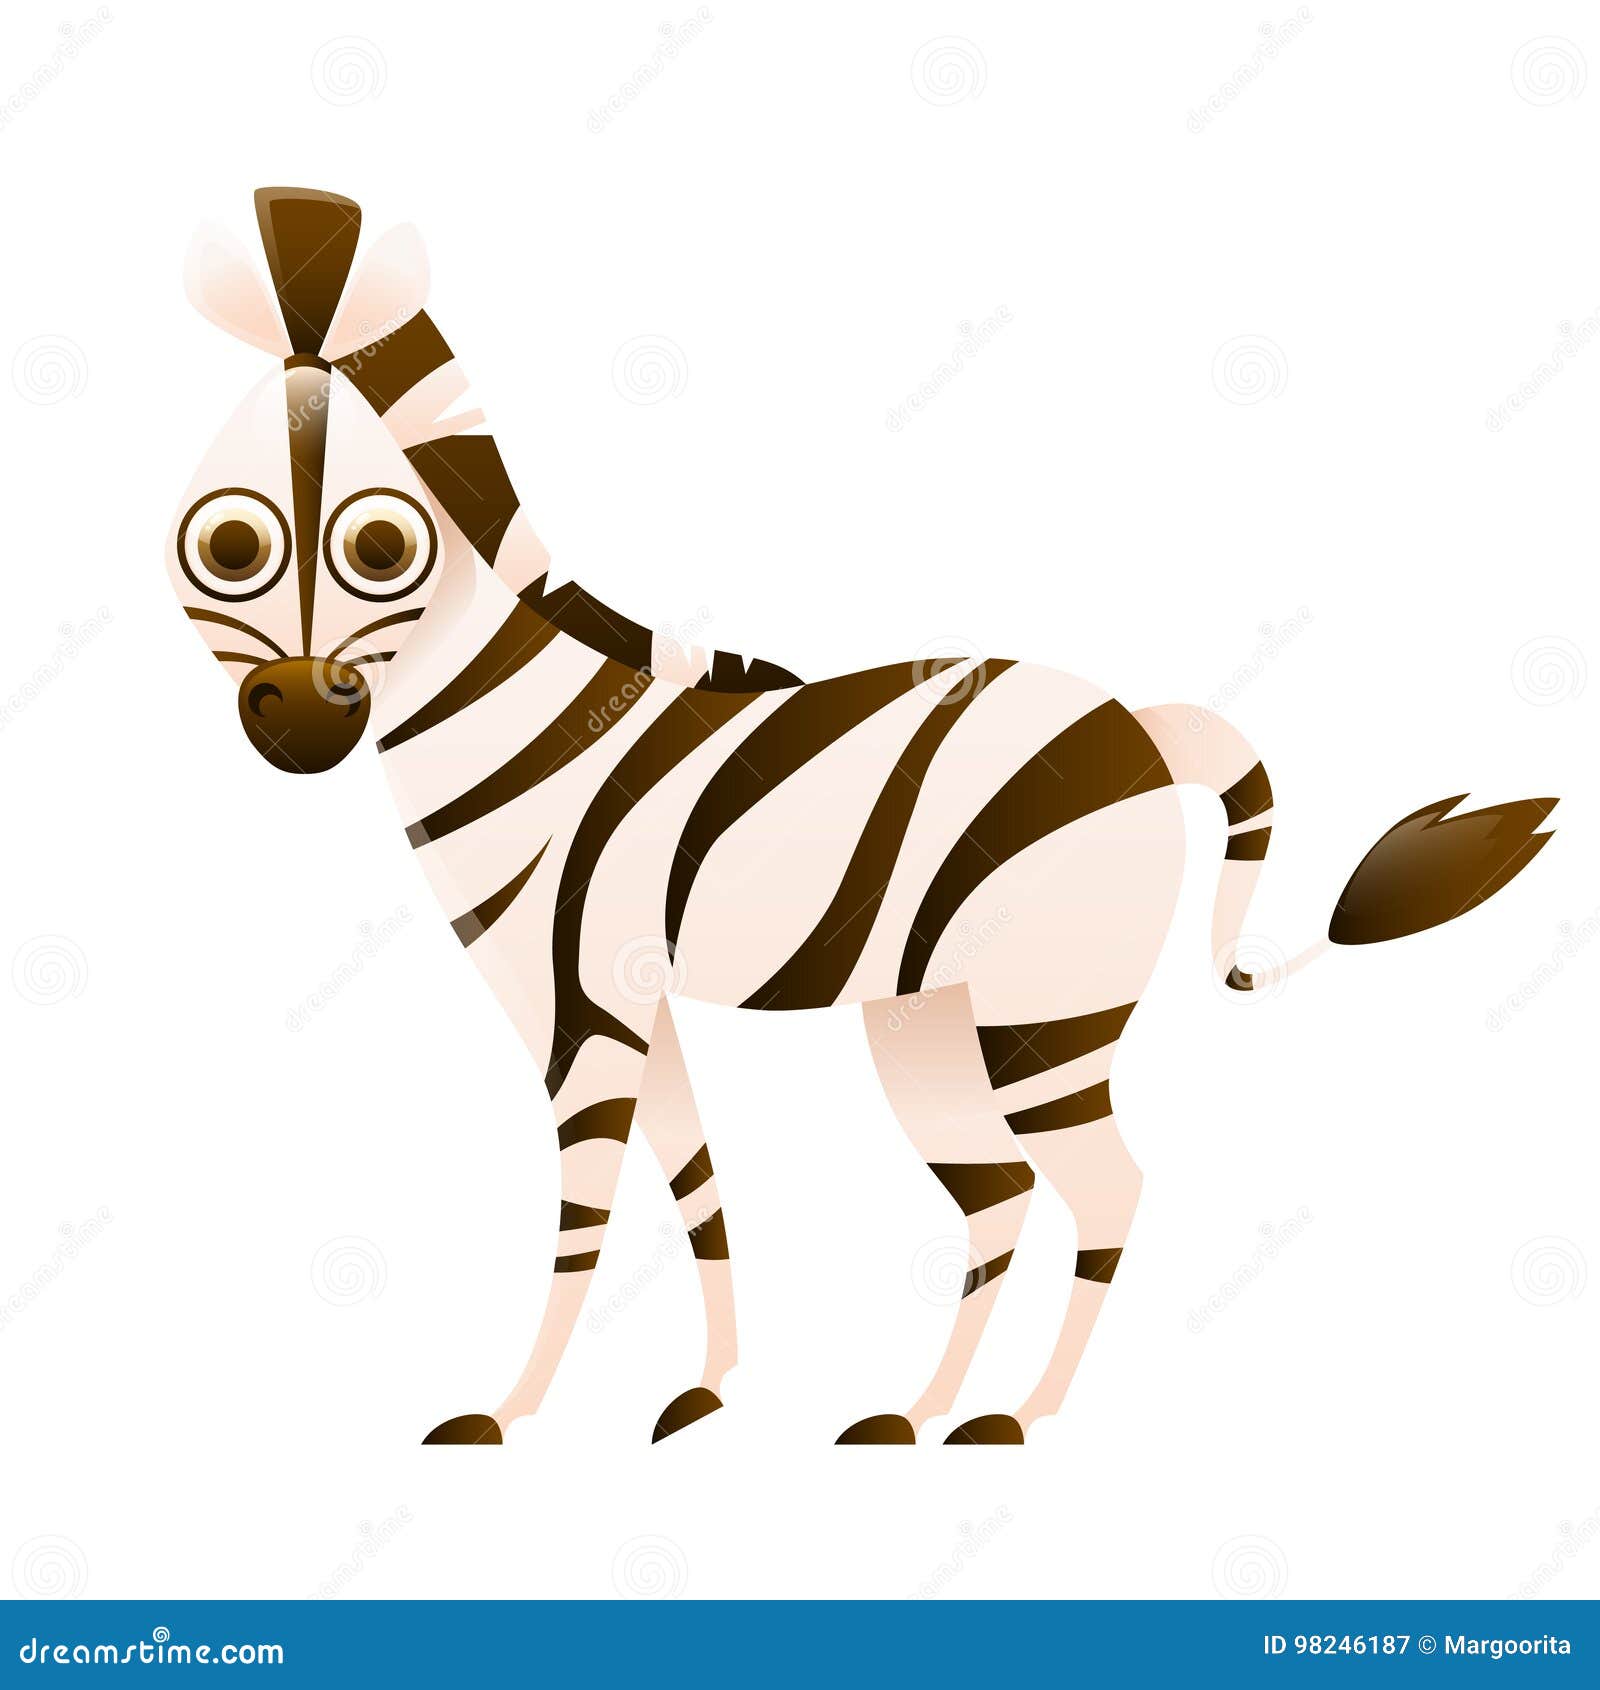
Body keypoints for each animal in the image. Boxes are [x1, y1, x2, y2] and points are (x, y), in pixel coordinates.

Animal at [168, 187, 1556, 1447]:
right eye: (227, 544)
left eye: (382, 548)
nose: (300, 719)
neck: (530, 726)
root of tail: (1141, 727)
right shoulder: (624, 1009)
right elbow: (699, 1184)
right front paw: (706, 1392)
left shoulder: (583, 1016)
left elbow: (586, 1216)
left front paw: (510, 1412)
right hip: (927, 1029)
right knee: (999, 1194)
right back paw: (918, 1412)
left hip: (1046, 1020)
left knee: (1106, 1189)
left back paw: (1022, 1418)